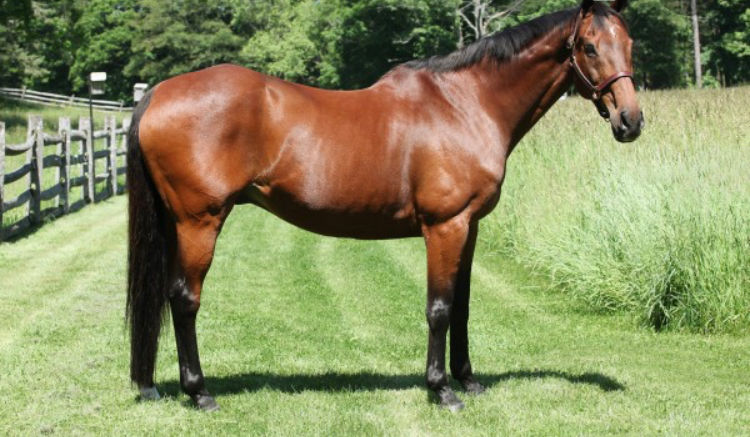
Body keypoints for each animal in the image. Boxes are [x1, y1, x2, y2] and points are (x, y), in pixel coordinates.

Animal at [126, 0, 643, 412]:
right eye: (589, 47)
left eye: (630, 43)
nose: (630, 121)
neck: (465, 104)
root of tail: (159, 92)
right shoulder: (445, 226)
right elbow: (439, 307)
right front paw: (442, 390)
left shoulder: (469, 226)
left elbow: (462, 306)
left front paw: (469, 380)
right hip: (199, 222)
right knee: (184, 299)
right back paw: (200, 393)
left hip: (176, 223)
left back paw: (152, 385)